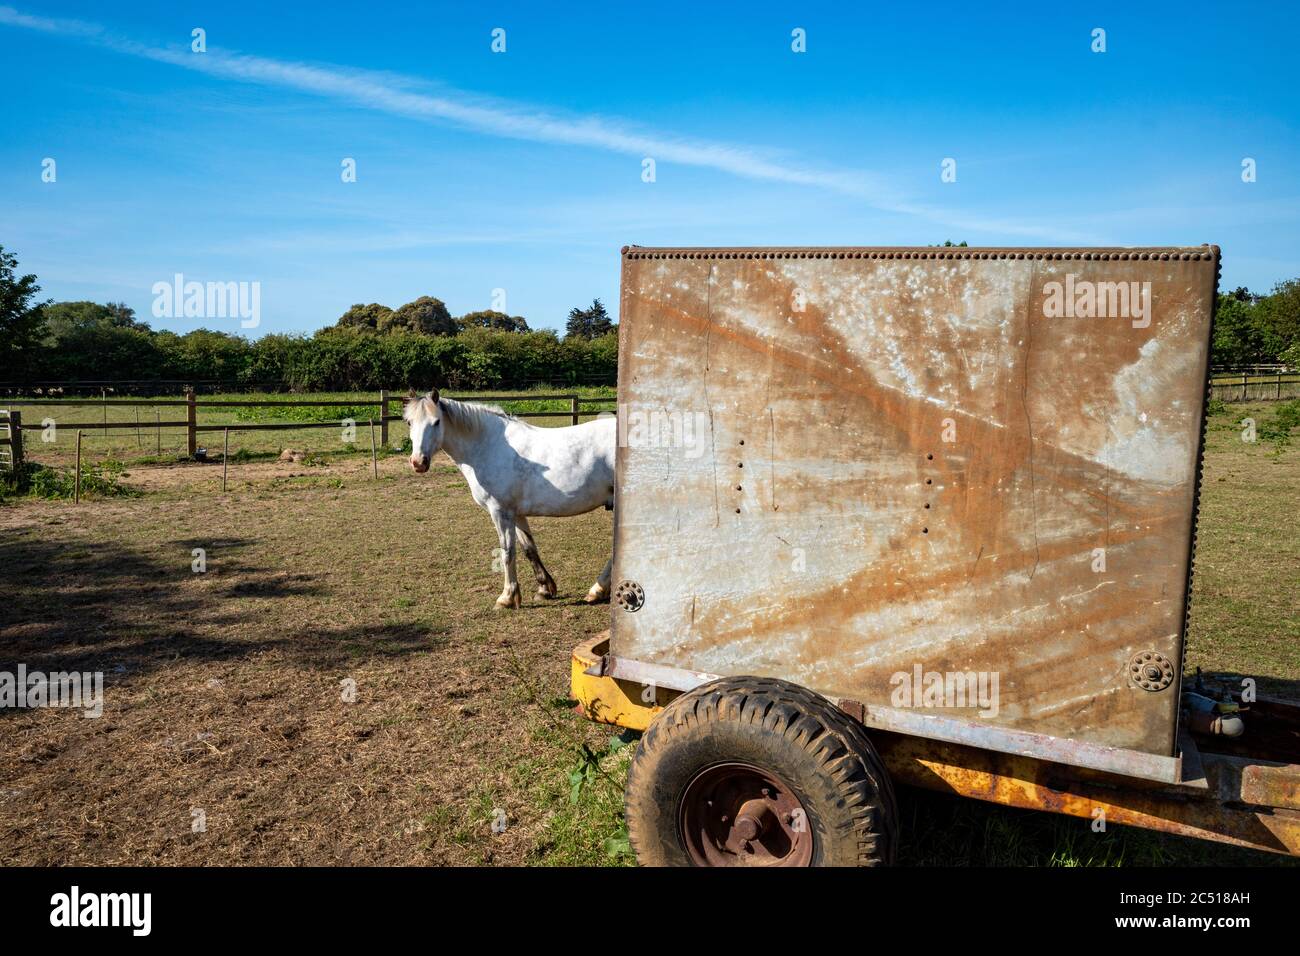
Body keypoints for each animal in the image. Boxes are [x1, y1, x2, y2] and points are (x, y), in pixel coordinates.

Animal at [404, 389, 616, 609]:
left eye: (436, 422)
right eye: (409, 422)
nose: (418, 462)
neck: (488, 445)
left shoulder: (500, 511)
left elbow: (507, 552)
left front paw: (507, 597)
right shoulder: (516, 514)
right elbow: (529, 549)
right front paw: (544, 589)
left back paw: (598, 589)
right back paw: (598, 591)